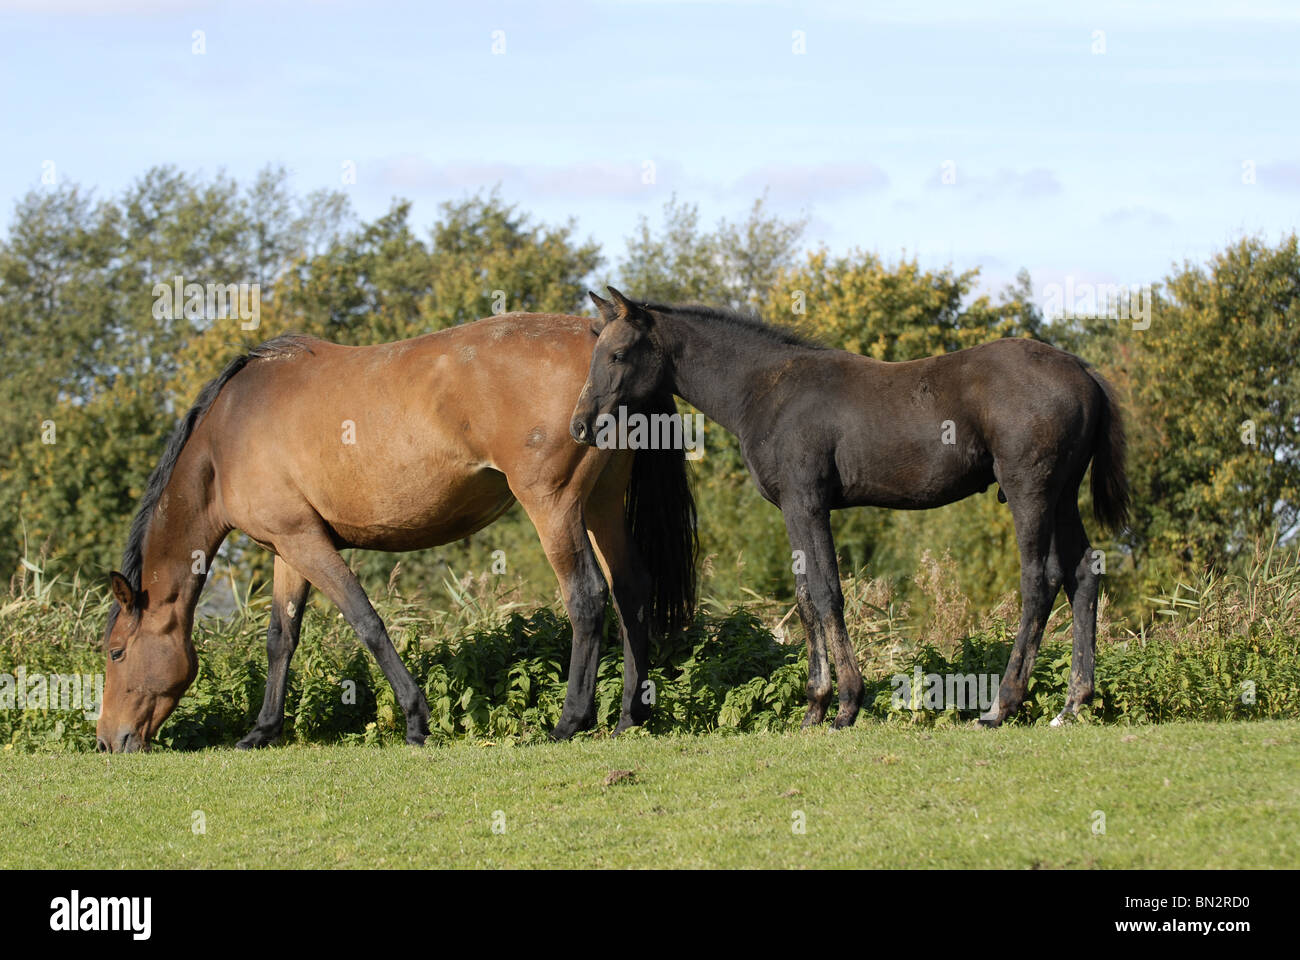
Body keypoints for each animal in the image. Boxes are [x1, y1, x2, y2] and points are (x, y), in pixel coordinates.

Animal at [96, 313, 697, 752]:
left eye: (117, 653)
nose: (107, 742)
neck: (230, 432)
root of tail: (596, 333)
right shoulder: (288, 548)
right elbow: (280, 639)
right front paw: (261, 732)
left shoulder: (306, 543)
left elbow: (366, 622)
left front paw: (415, 719)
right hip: (599, 507)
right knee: (630, 592)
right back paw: (629, 717)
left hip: (553, 507)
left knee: (587, 598)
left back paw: (571, 721)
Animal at [570, 287, 1128, 729]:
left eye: (617, 354)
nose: (580, 425)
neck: (766, 389)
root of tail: (1083, 371)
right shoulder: (793, 507)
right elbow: (804, 596)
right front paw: (815, 706)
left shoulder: (806, 502)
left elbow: (826, 592)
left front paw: (844, 705)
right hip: (1062, 495)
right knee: (1083, 572)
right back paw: (1073, 703)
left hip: (1030, 490)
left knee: (1040, 579)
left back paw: (1001, 706)